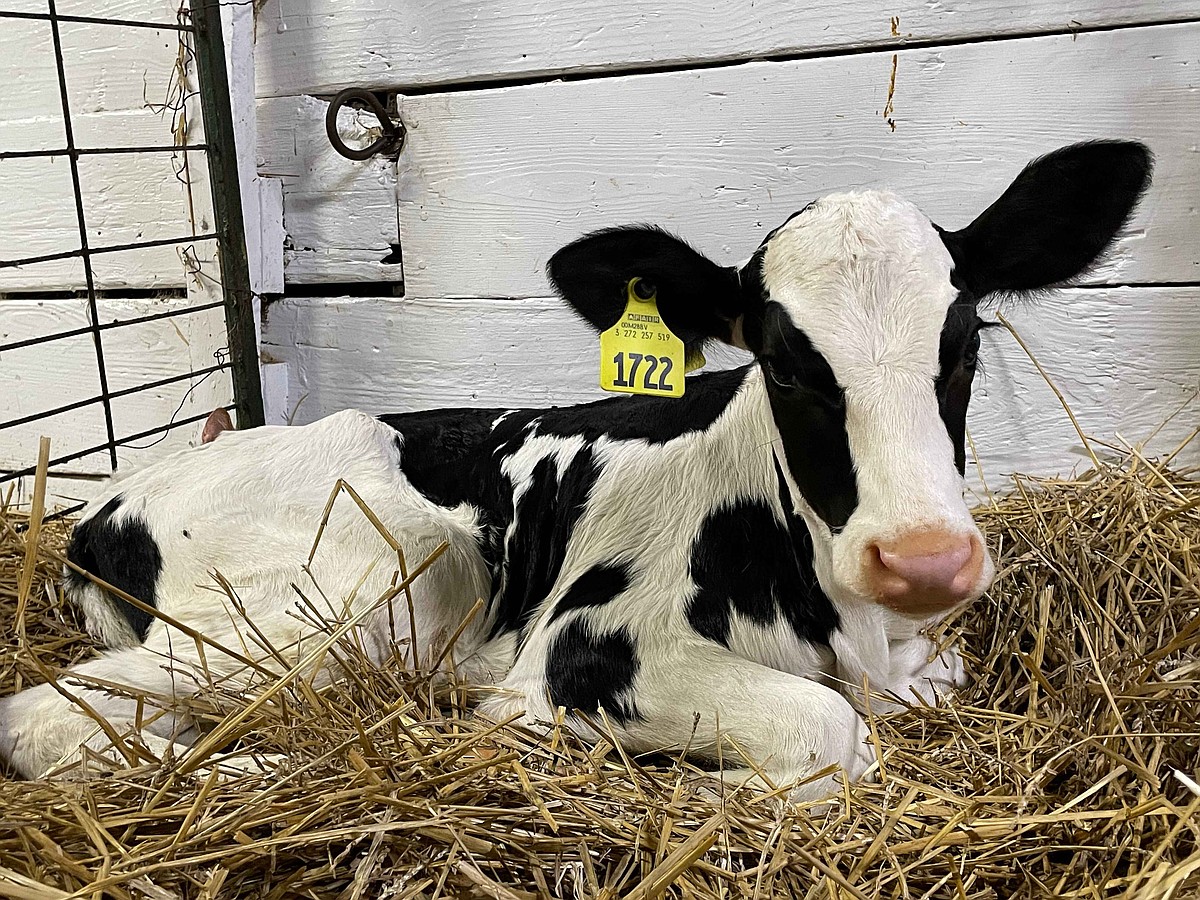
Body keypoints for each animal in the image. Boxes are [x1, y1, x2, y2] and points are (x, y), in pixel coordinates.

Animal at [0, 141, 1151, 797]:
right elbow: (832, 738)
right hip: (373, 575)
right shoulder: (592, 645)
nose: (923, 561)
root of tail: (101, 507)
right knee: (51, 722)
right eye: (783, 358)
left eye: (964, 343)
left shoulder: (922, 661)